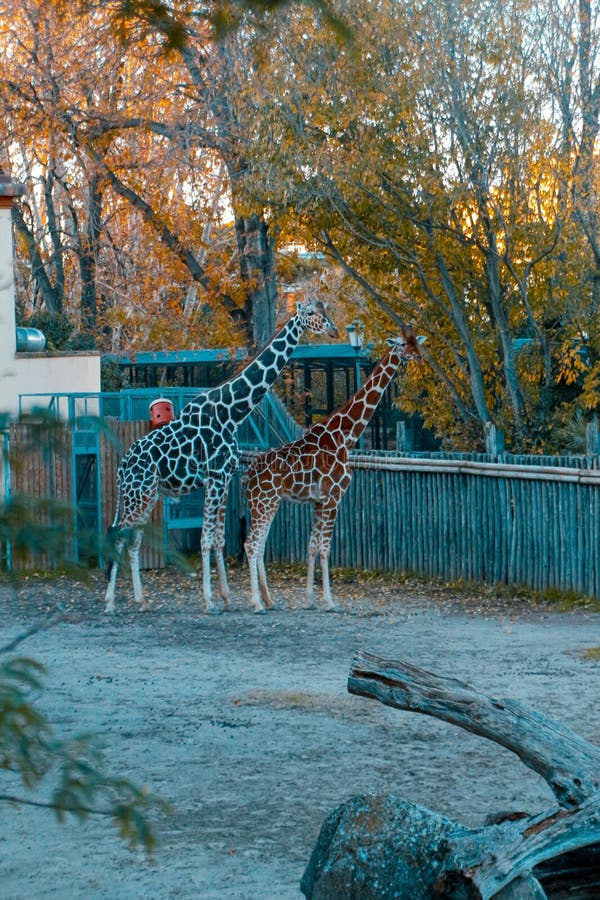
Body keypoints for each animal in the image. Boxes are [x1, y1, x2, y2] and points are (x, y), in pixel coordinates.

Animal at [104, 300, 338, 614]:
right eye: (310, 313)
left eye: (324, 308)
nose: (333, 329)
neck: (232, 412)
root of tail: (122, 466)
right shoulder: (215, 477)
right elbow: (205, 539)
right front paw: (210, 601)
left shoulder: (225, 478)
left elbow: (218, 538)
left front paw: (226, 597)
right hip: (136, 494)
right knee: (119, 537)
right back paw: (109, 603)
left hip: (147, 495)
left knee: (133, 540)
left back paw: (141, 601)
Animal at [243, 326, 421, 613]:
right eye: (403, 344)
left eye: (417, 342)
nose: (418, 356)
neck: (345, 436)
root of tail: (247, 476)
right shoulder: (333, 497)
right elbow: (325, 548)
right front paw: (329, 601)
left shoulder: (318, 501)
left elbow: (312, 547)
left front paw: (309, 600)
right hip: (265, 502)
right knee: (251, 543)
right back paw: (257, 603)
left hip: (266, 503)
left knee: (259, 545)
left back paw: (269, 600)